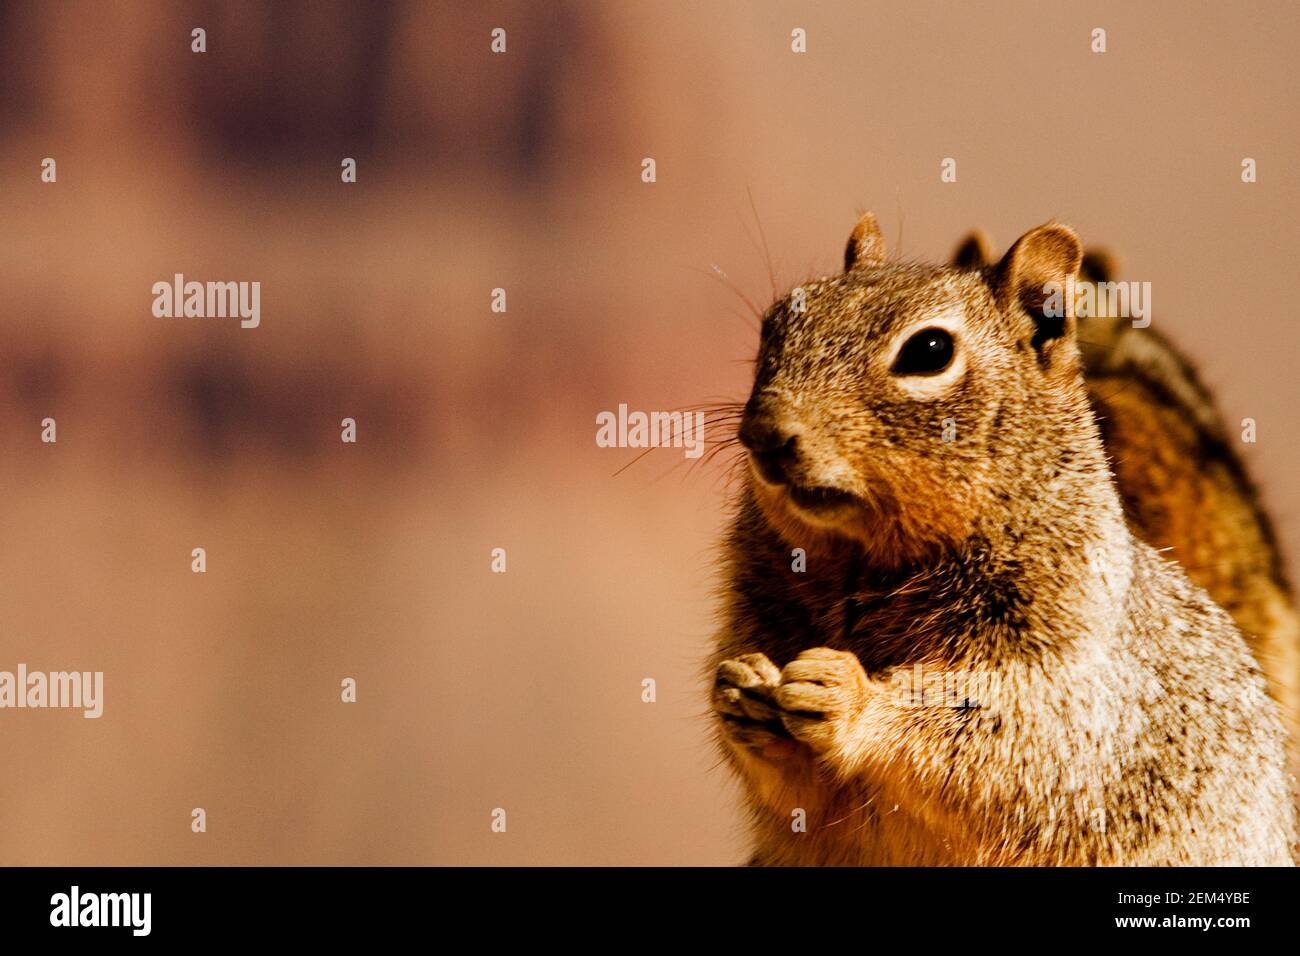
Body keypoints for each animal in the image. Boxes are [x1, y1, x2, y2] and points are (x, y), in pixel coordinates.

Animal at [710, 213, 1296, 865]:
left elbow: (1009, 738)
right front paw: (740, 693)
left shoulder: (1069, 673)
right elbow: (798, 794)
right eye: (773, 324)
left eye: (930, 351)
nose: (763, 434)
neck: (862, 559)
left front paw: (847, 694)